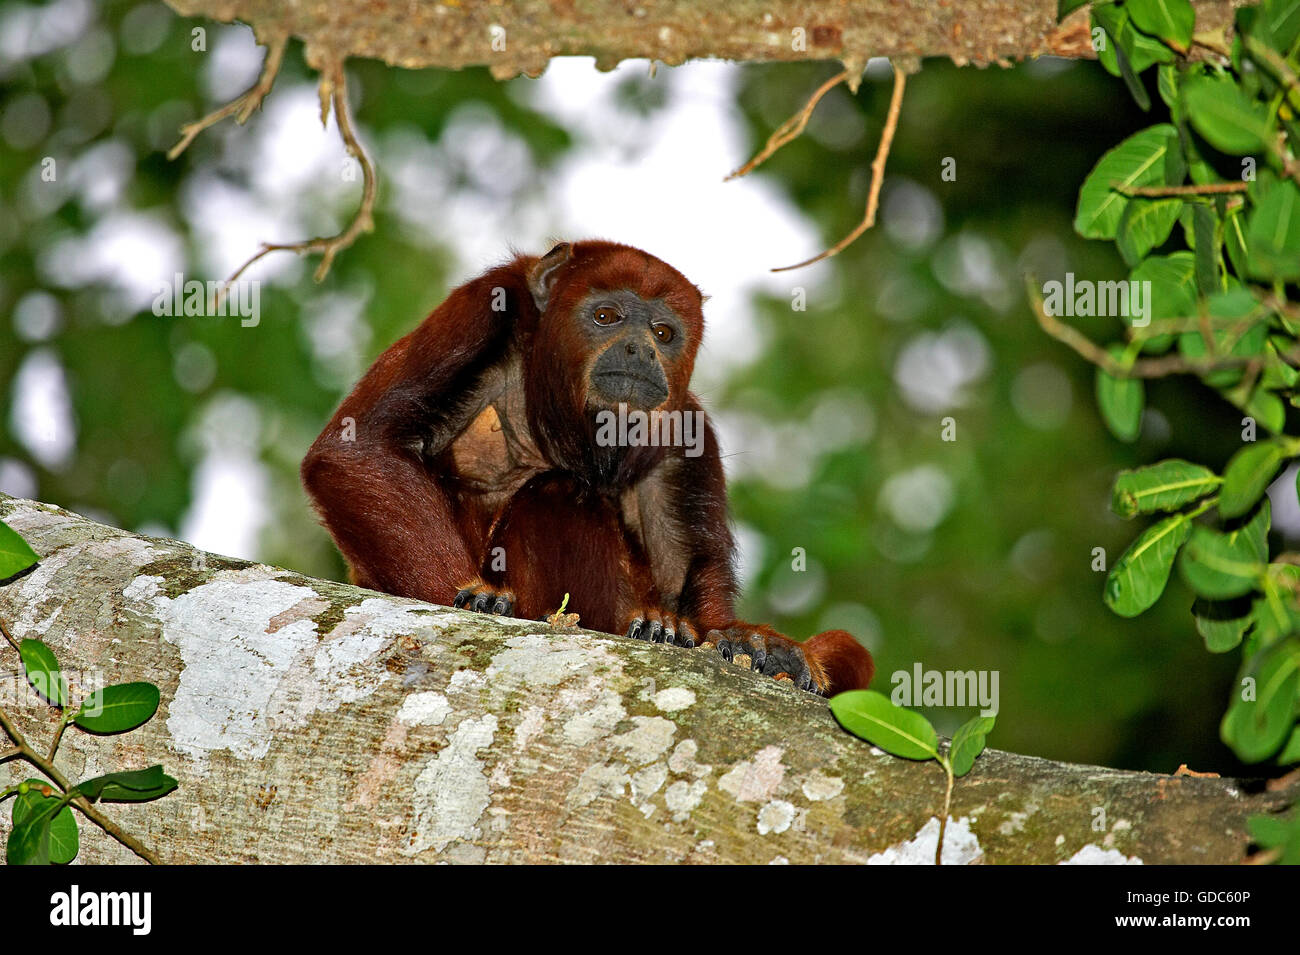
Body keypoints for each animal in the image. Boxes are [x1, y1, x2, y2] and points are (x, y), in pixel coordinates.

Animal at [301, 240, 874, 696]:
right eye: (606, 317)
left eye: (664, 332)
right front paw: (475, 598)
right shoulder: (485, 304)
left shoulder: (683, 427)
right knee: (559, 491)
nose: (639, 350)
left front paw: (747, 641)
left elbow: (686, 578)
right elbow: (358, 449)